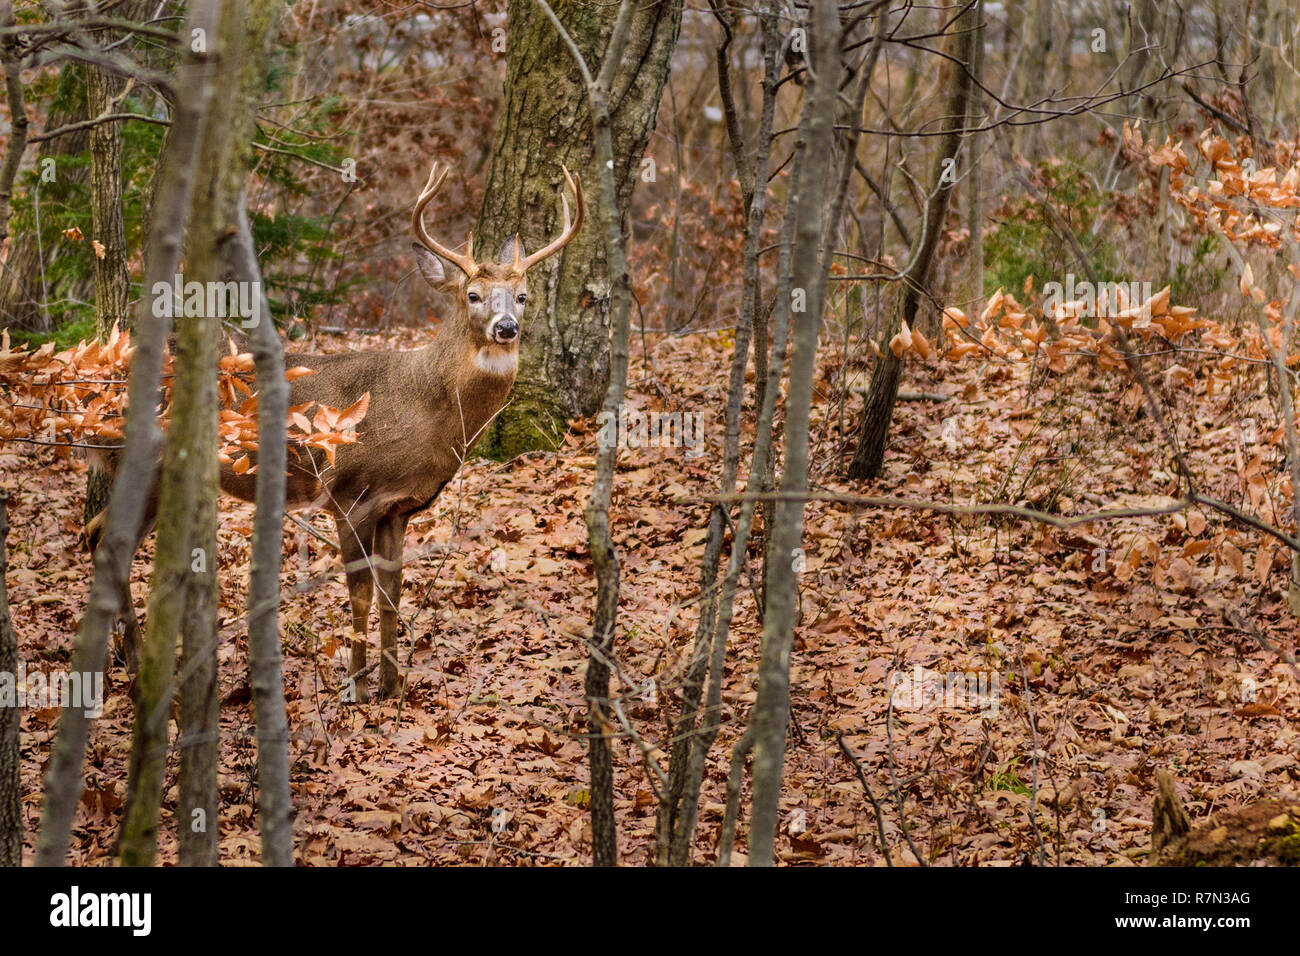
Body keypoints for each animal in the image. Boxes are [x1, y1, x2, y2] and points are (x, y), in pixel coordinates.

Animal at [88, 160, 584, 700]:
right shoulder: (349, 494)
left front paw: (392, 686)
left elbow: (392, 594)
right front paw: (356, 688)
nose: (506, 327)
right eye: (472, 295)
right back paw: (137, 670)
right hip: (148, 466)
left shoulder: (399, 507)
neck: (423, 407)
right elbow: (360, 594)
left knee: (94, 535)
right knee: (106, 543)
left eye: (523, 296)